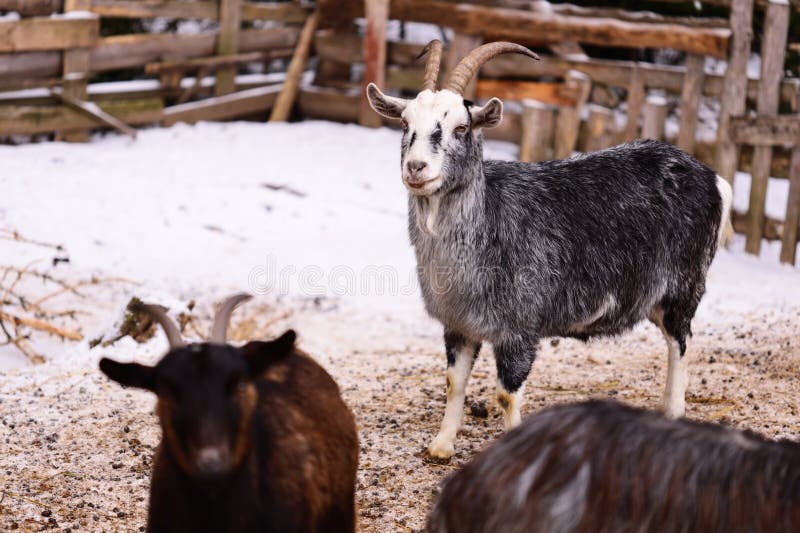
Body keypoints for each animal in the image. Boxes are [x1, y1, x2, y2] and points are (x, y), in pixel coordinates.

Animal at [366, 40, 734, 459]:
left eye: (461, 127)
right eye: (405, 124)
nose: (416, 168)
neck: (490, 220)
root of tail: (713, 179)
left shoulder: (520, 327)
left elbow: (506, 395)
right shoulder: (459, 324)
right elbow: (453, 383)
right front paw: (441, 446)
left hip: (684, 283)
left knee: (680, 341)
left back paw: (672, 410)